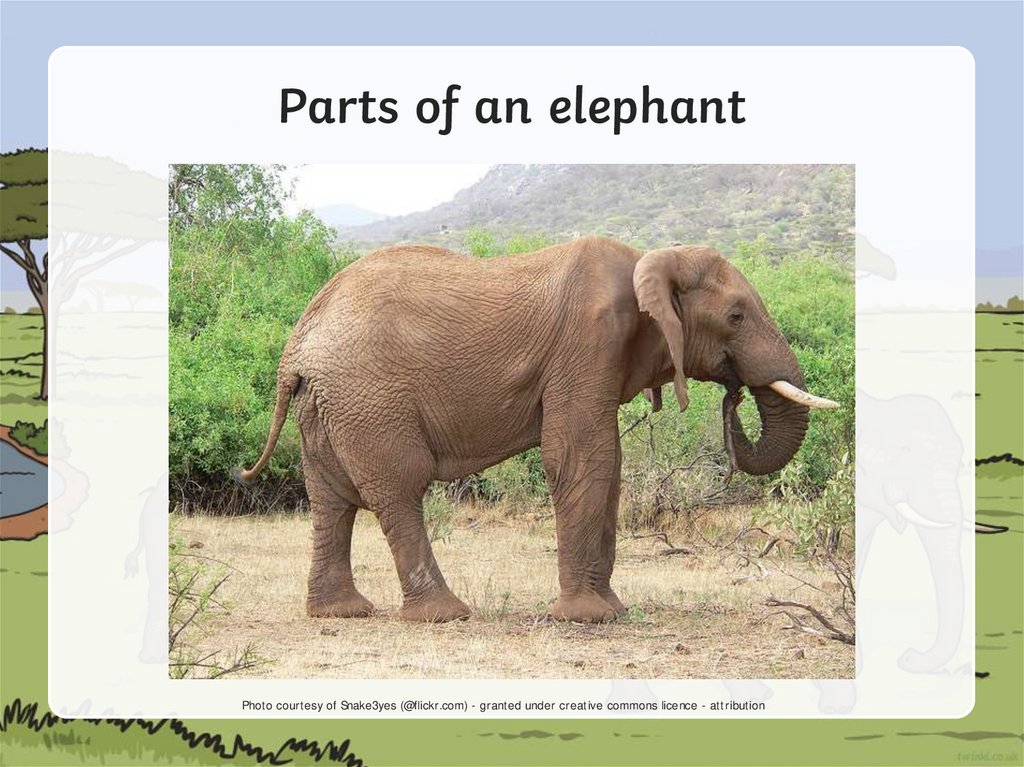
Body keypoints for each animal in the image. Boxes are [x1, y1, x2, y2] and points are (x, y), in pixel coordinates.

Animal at [235, 237, 838, 623]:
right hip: (368, 396)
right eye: (736, 316)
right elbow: (581, 454)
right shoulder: (588, 341)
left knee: (331, 499)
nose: (734, 397)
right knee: (400, 488)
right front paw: (588, 619)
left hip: (327, 402)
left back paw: (342, 613)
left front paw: (610, 609)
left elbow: (608, 464)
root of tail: (297, 342)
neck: (651, 259)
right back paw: (445, 616)